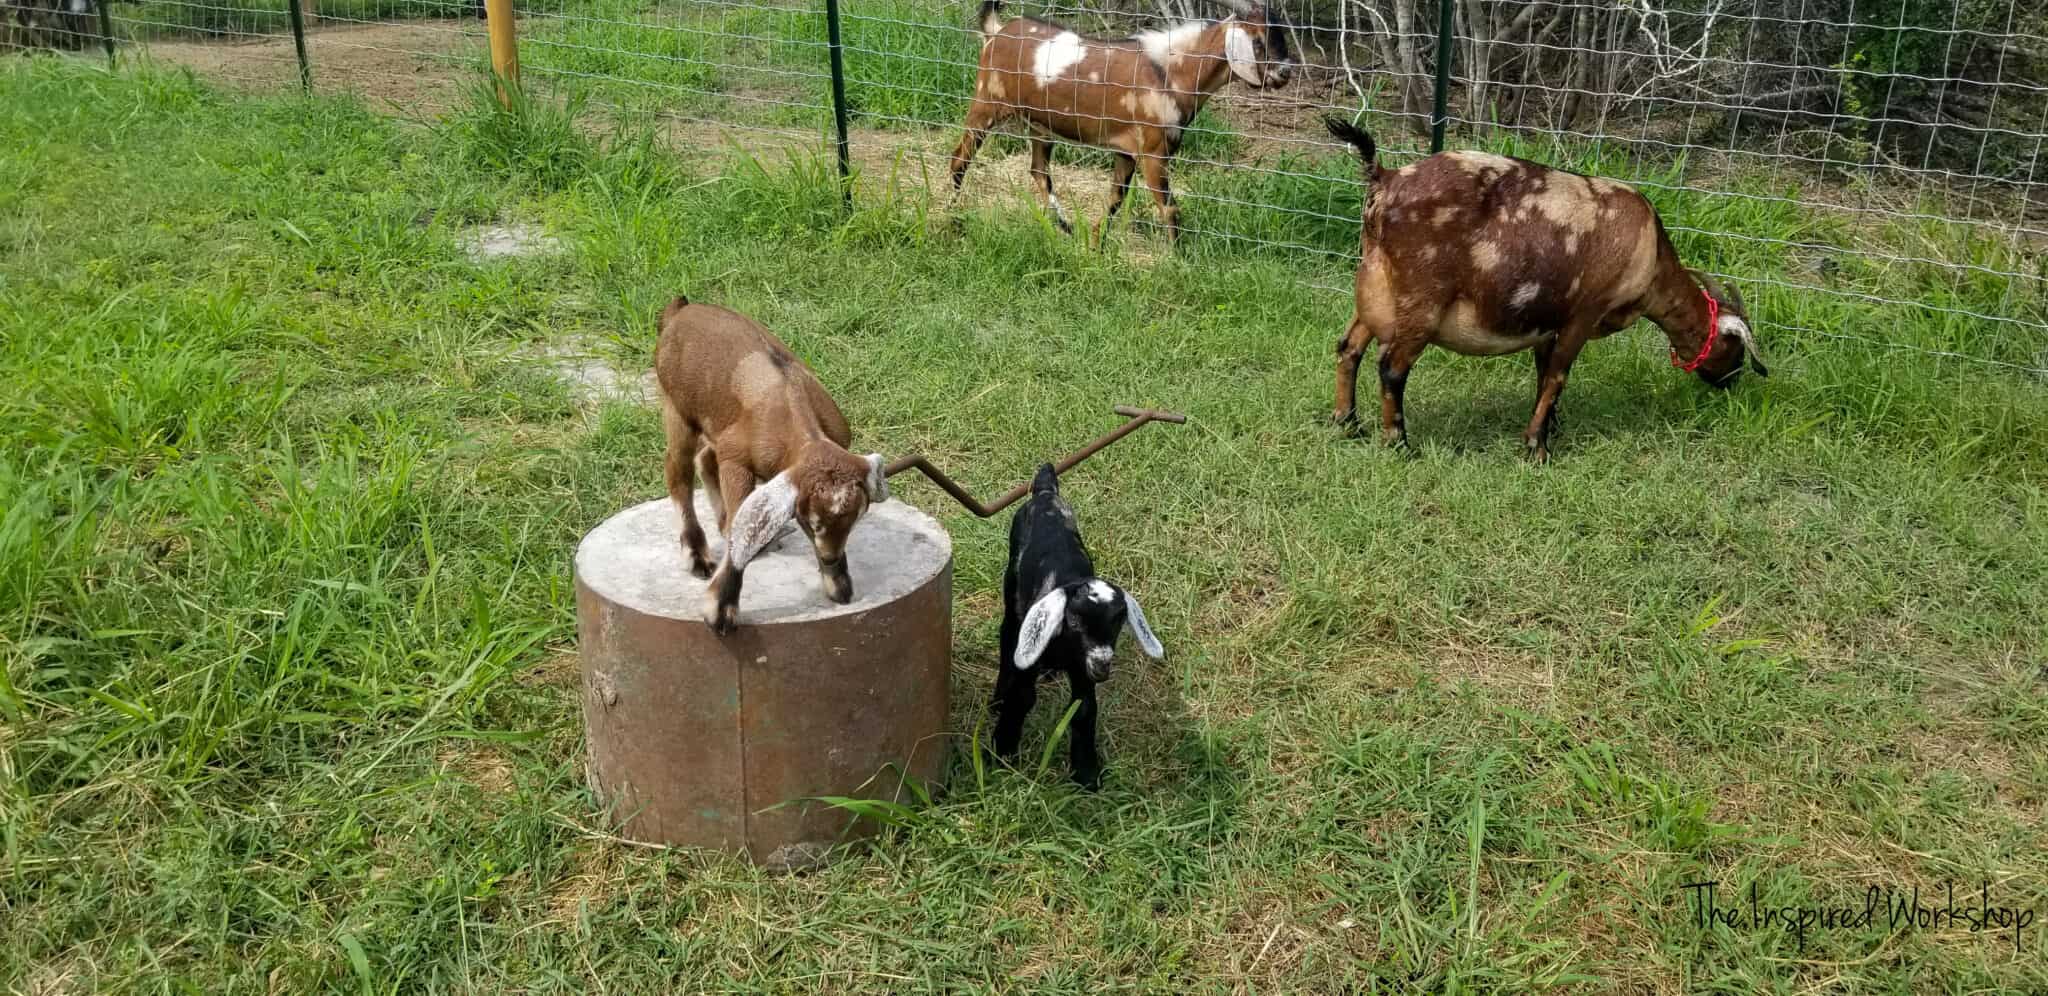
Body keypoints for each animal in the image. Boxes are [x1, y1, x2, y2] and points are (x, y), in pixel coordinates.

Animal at [652, 297, 889, 634]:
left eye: (855, 521)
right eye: (813, 522)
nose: (830, 558)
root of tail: (681, 309)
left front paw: (839, 586)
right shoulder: (736, 458)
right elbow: (740, 523)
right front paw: (720, 610)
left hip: (714, 427)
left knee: (705, 458)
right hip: (677, 408)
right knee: (678, 471)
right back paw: (697, 555)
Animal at [948, 0, 1295, 242]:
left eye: (1281, 36)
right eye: (1259, 40)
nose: (1285, 73)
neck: (1170, 72)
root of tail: (996, 32)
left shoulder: (1126, 152)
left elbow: (1115, 199)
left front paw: (1095, 244)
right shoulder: (1154, 152)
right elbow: (1170, 208)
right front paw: (1177, 262)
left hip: (1040, 126)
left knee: (1039, 171)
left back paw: (1065, 227)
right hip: (986, 105)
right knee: (959, 158)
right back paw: (952, 219)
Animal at [991, 464, 1164, 790]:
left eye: (1120, 623)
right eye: (1073, 620)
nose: (1102, 664)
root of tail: (1046, 492)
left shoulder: (1082, 669)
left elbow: (1083, 710)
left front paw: (1086, 773)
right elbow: (1022, 697)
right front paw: (1002, 750)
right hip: (1013, 596)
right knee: (1008, 639)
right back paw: (997, 698)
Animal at [1322, 117, 1770, 463]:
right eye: (1736, 347)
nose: (1731, 382)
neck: (1650, 250)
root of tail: (1385, 178)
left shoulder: (1547, 319)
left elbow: (1542, 375)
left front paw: (1552, 425)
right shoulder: (1583, 313)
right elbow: (1557, 375)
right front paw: (1537, 448)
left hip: (1375, 287)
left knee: (1349, 347)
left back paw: (1347, 423)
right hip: (1421, 300)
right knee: (1392, 368)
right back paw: (1398, 443)